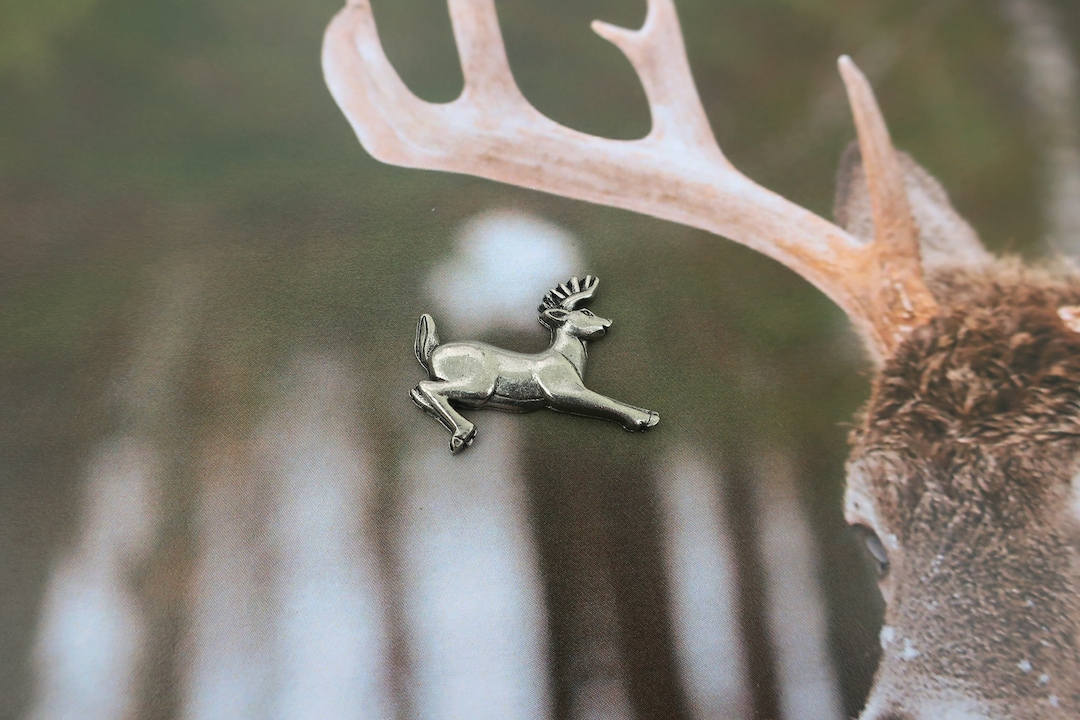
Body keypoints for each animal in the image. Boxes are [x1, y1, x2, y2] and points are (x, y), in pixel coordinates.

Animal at [410, 275, 659, 453]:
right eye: (587, 312)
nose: (608, 322)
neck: (566, 358)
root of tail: (432, 353)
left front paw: (647, 415)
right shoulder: (561, 390)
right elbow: (605, 401)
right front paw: (646, 418)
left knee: (419, 390)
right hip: (481, 385)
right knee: (427, 386)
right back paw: (463, 434)